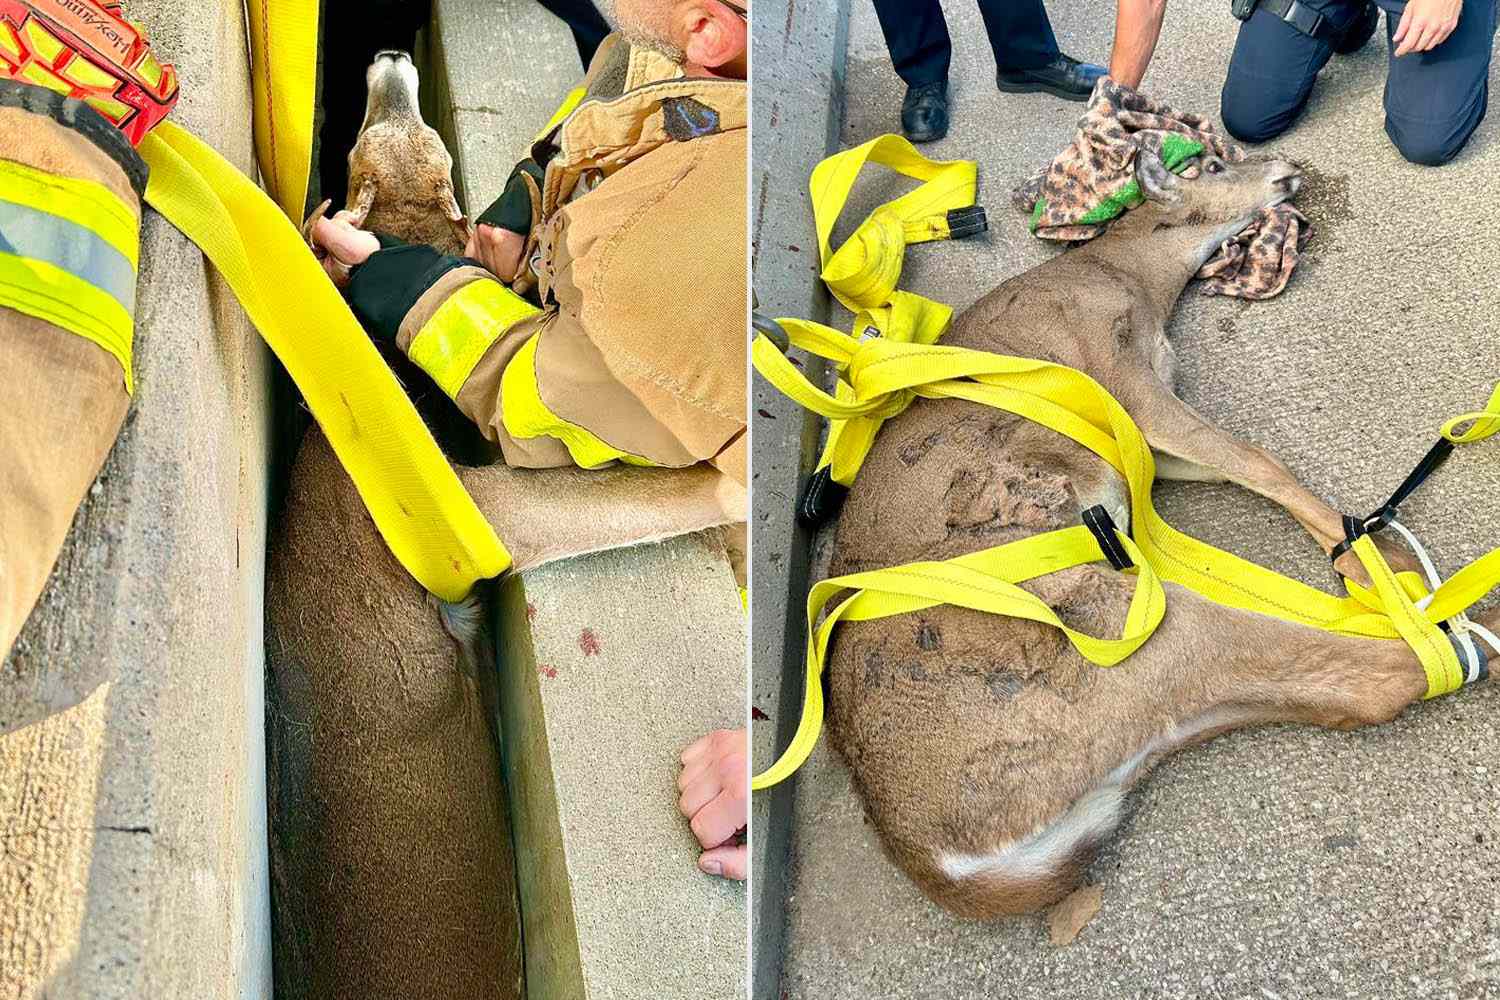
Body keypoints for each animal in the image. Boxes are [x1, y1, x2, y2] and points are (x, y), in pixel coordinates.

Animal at [266, 52, 742, 999]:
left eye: (406, 138)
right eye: (363, 142)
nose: (389, 59)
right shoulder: (489, 508)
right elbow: (636, 501)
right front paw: (725, 480)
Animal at [816, 147, 1497, 919]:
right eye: (1212, 166)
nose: (1286, 165)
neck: (1134, 277)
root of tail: (941, 863)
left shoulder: (1149, 437)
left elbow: (1240, 470)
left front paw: (1360, 552)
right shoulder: (1122, 381)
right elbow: (1254, 458)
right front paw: (1370, 549)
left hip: (1140, 713)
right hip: (1111, 626)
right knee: (1366, 673)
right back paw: (1454, 619)